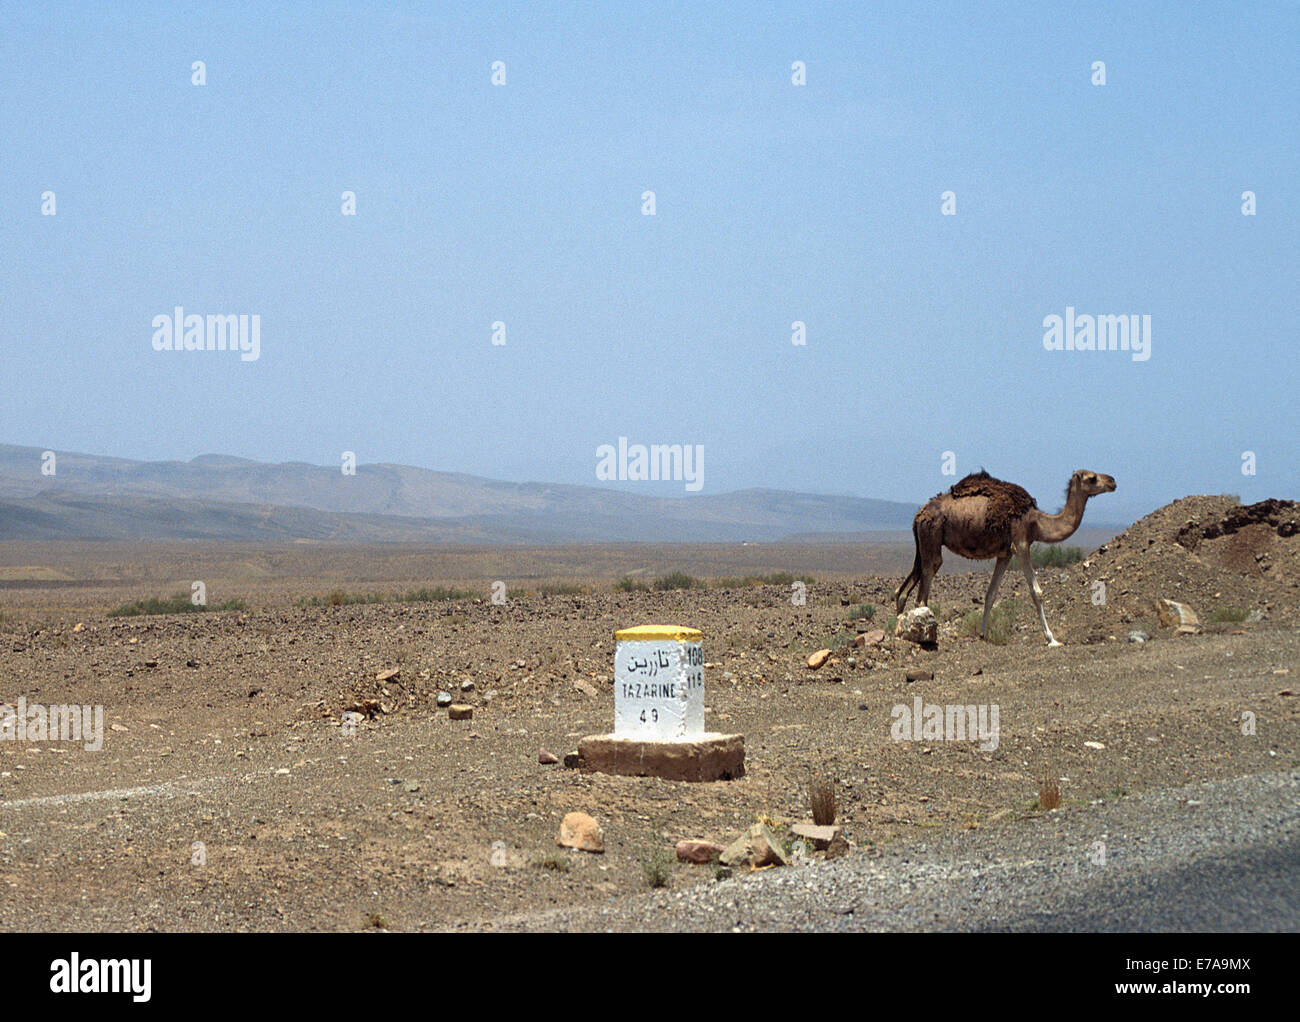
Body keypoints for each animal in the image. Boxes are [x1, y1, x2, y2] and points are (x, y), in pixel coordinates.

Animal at [893, 469, 1116, 646]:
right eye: (1092, 478)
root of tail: (919, 515)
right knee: (923, 590)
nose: (1113, 481)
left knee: (902, 591)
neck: (1037, 522)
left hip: (923, 544)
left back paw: (899, 630)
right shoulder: (1021, 544)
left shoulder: (1005, 554)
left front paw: (982, 634)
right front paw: (1052, 639)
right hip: (932, 536)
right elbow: (1037, 592)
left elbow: (991, 594)